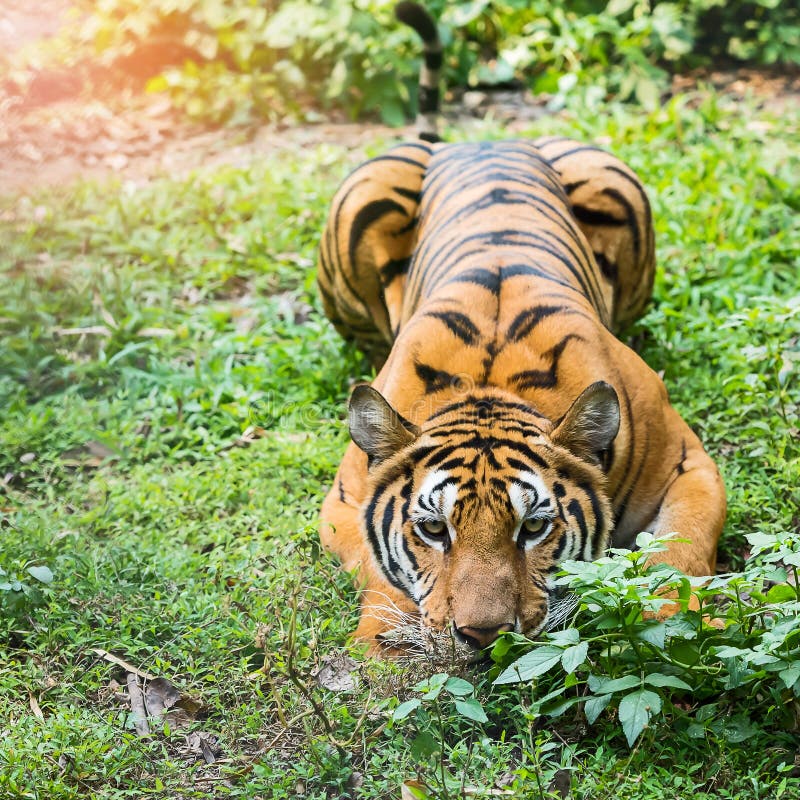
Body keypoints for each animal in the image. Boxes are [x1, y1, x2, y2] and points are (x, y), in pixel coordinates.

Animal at [317, 1, 726, 655]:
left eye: (533, 527)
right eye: (433, 528)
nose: (482, 635)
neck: (491, 385)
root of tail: (471, 139)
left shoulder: (688, 466)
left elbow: (680, 552)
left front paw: (680, 628)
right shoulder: (345, 497)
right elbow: (380, 574)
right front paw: (380, 646)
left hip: (610, 178)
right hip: (365, 193)